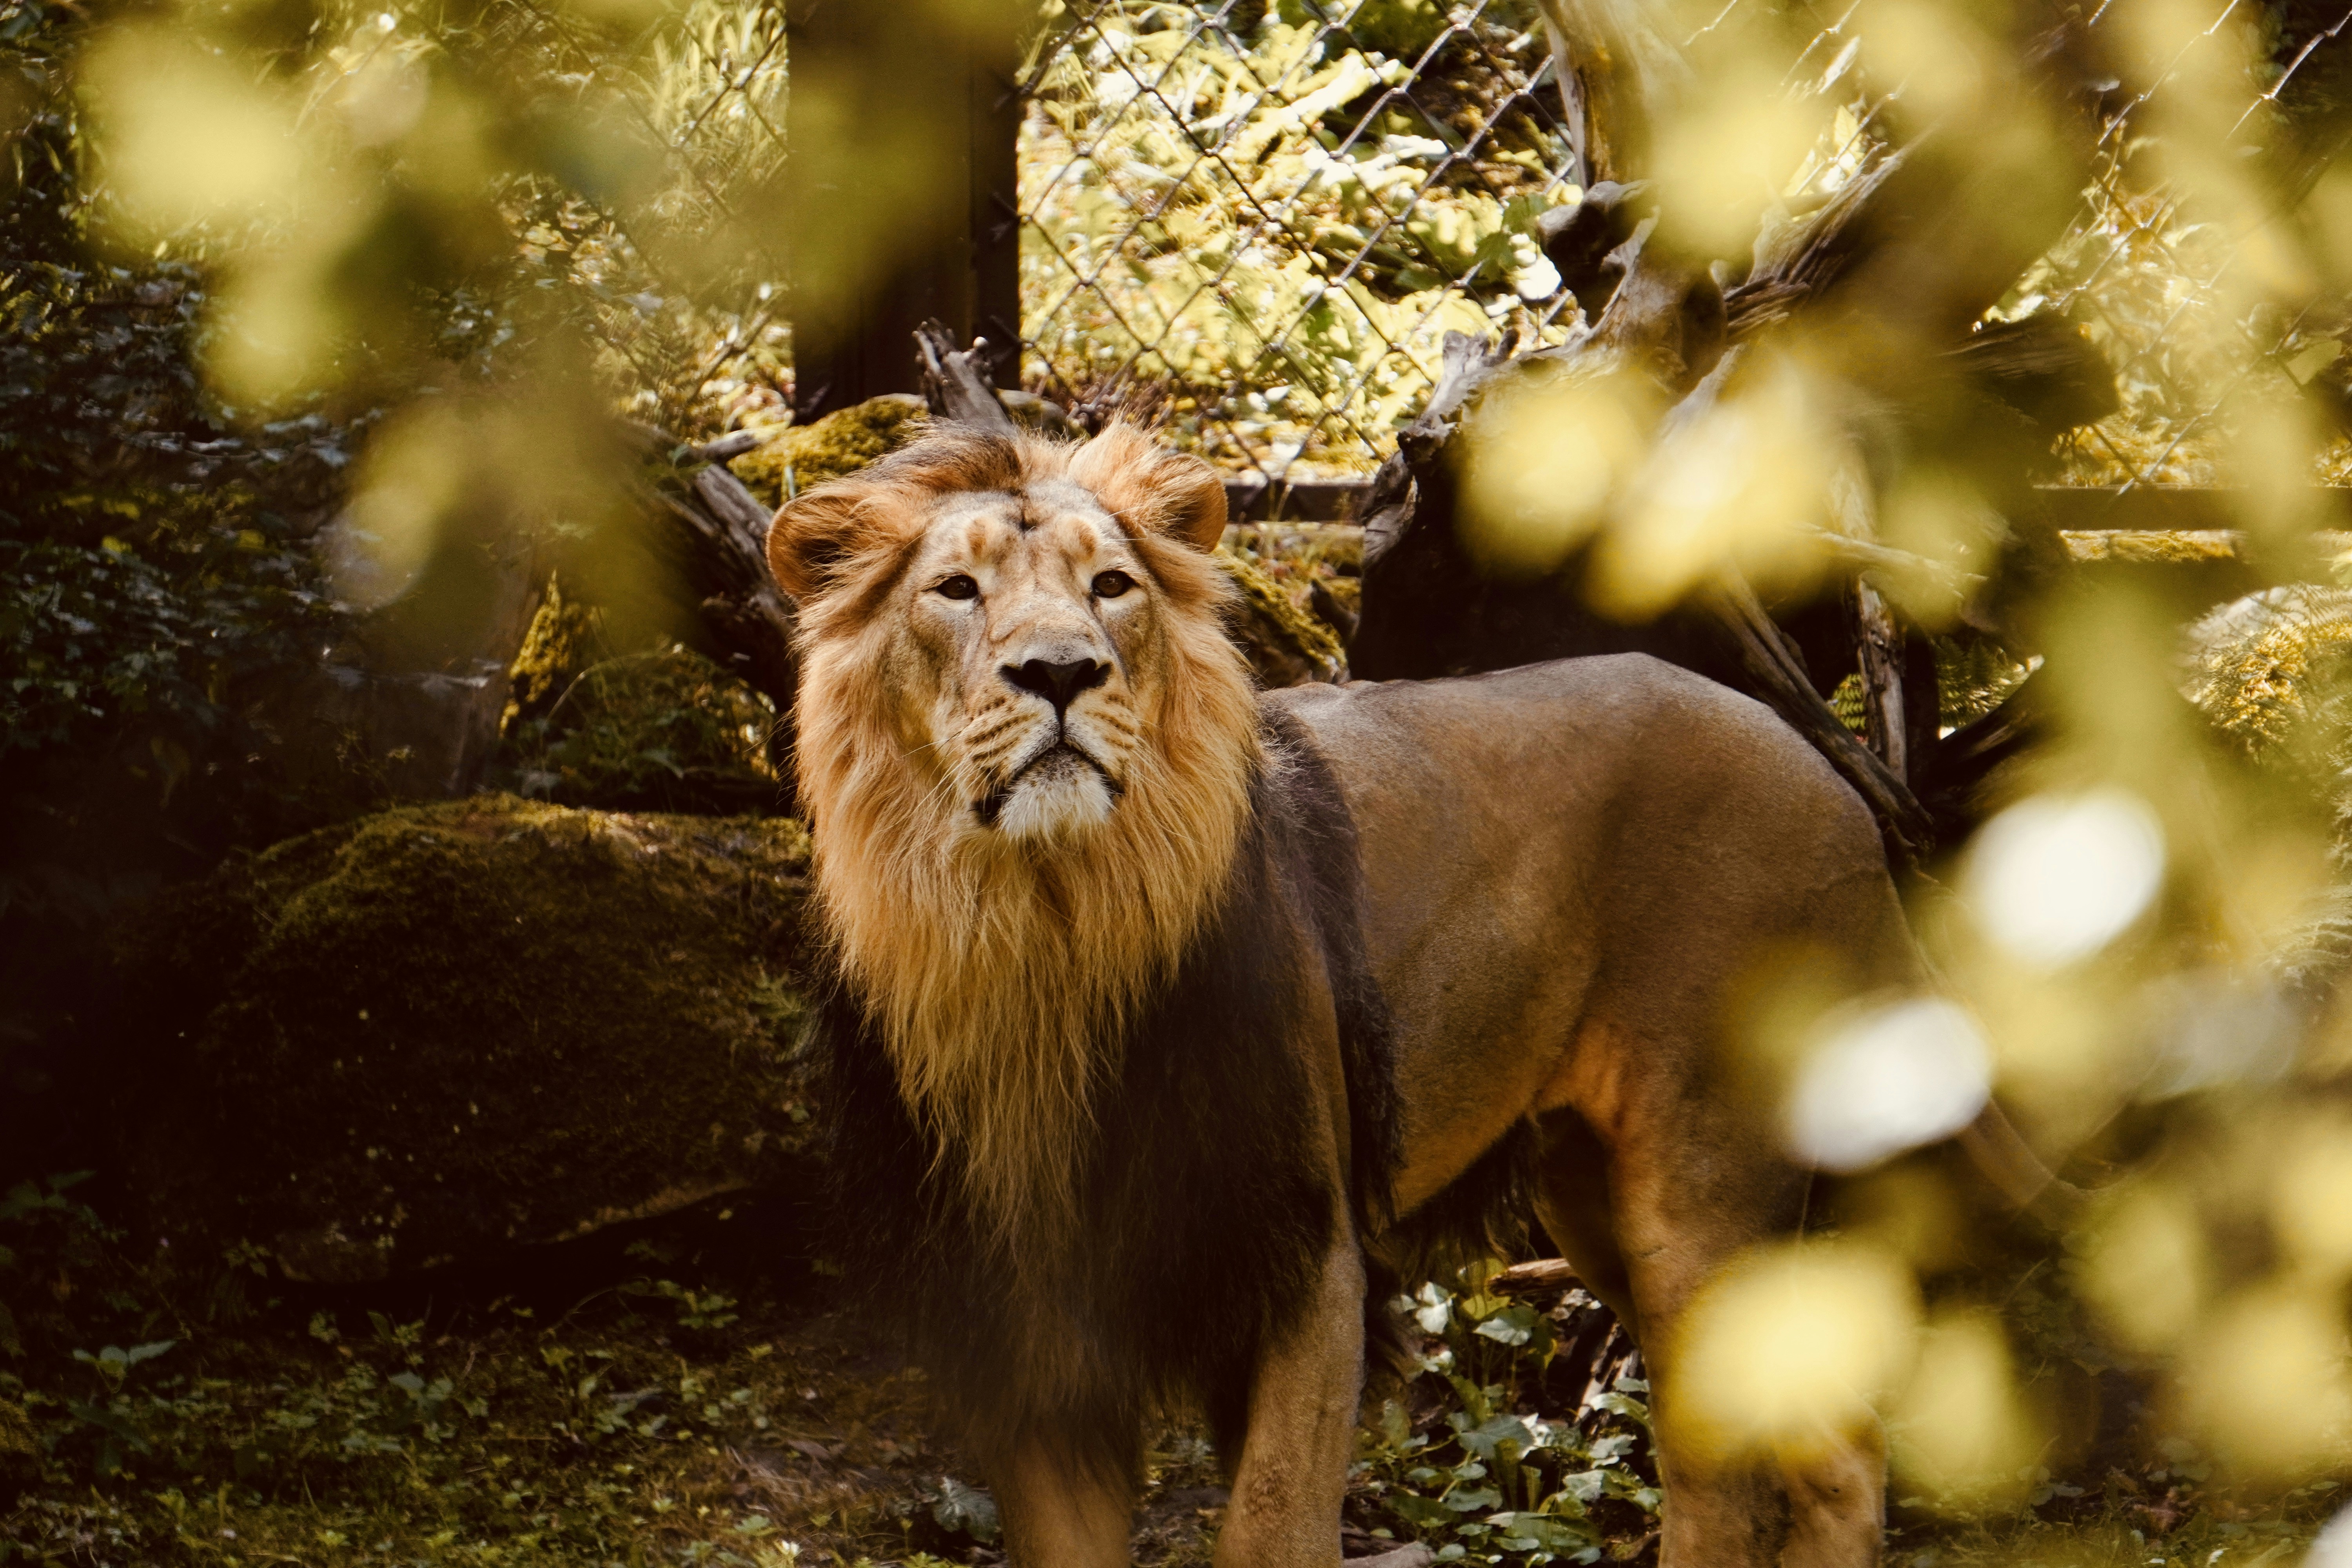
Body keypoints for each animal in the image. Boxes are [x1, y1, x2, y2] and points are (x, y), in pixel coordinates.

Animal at [767, 422, 1938, 1567]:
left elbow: (1271, 1526)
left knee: (1723, 1487)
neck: (1040, 928)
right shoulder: (1032, 1326)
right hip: (1590, 1192)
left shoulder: (1308, 1264)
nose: (1062, 670)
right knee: (1840, 1453)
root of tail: (1834, 776)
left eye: (1111, 585)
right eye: (955, 590)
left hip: (1699, 1193)